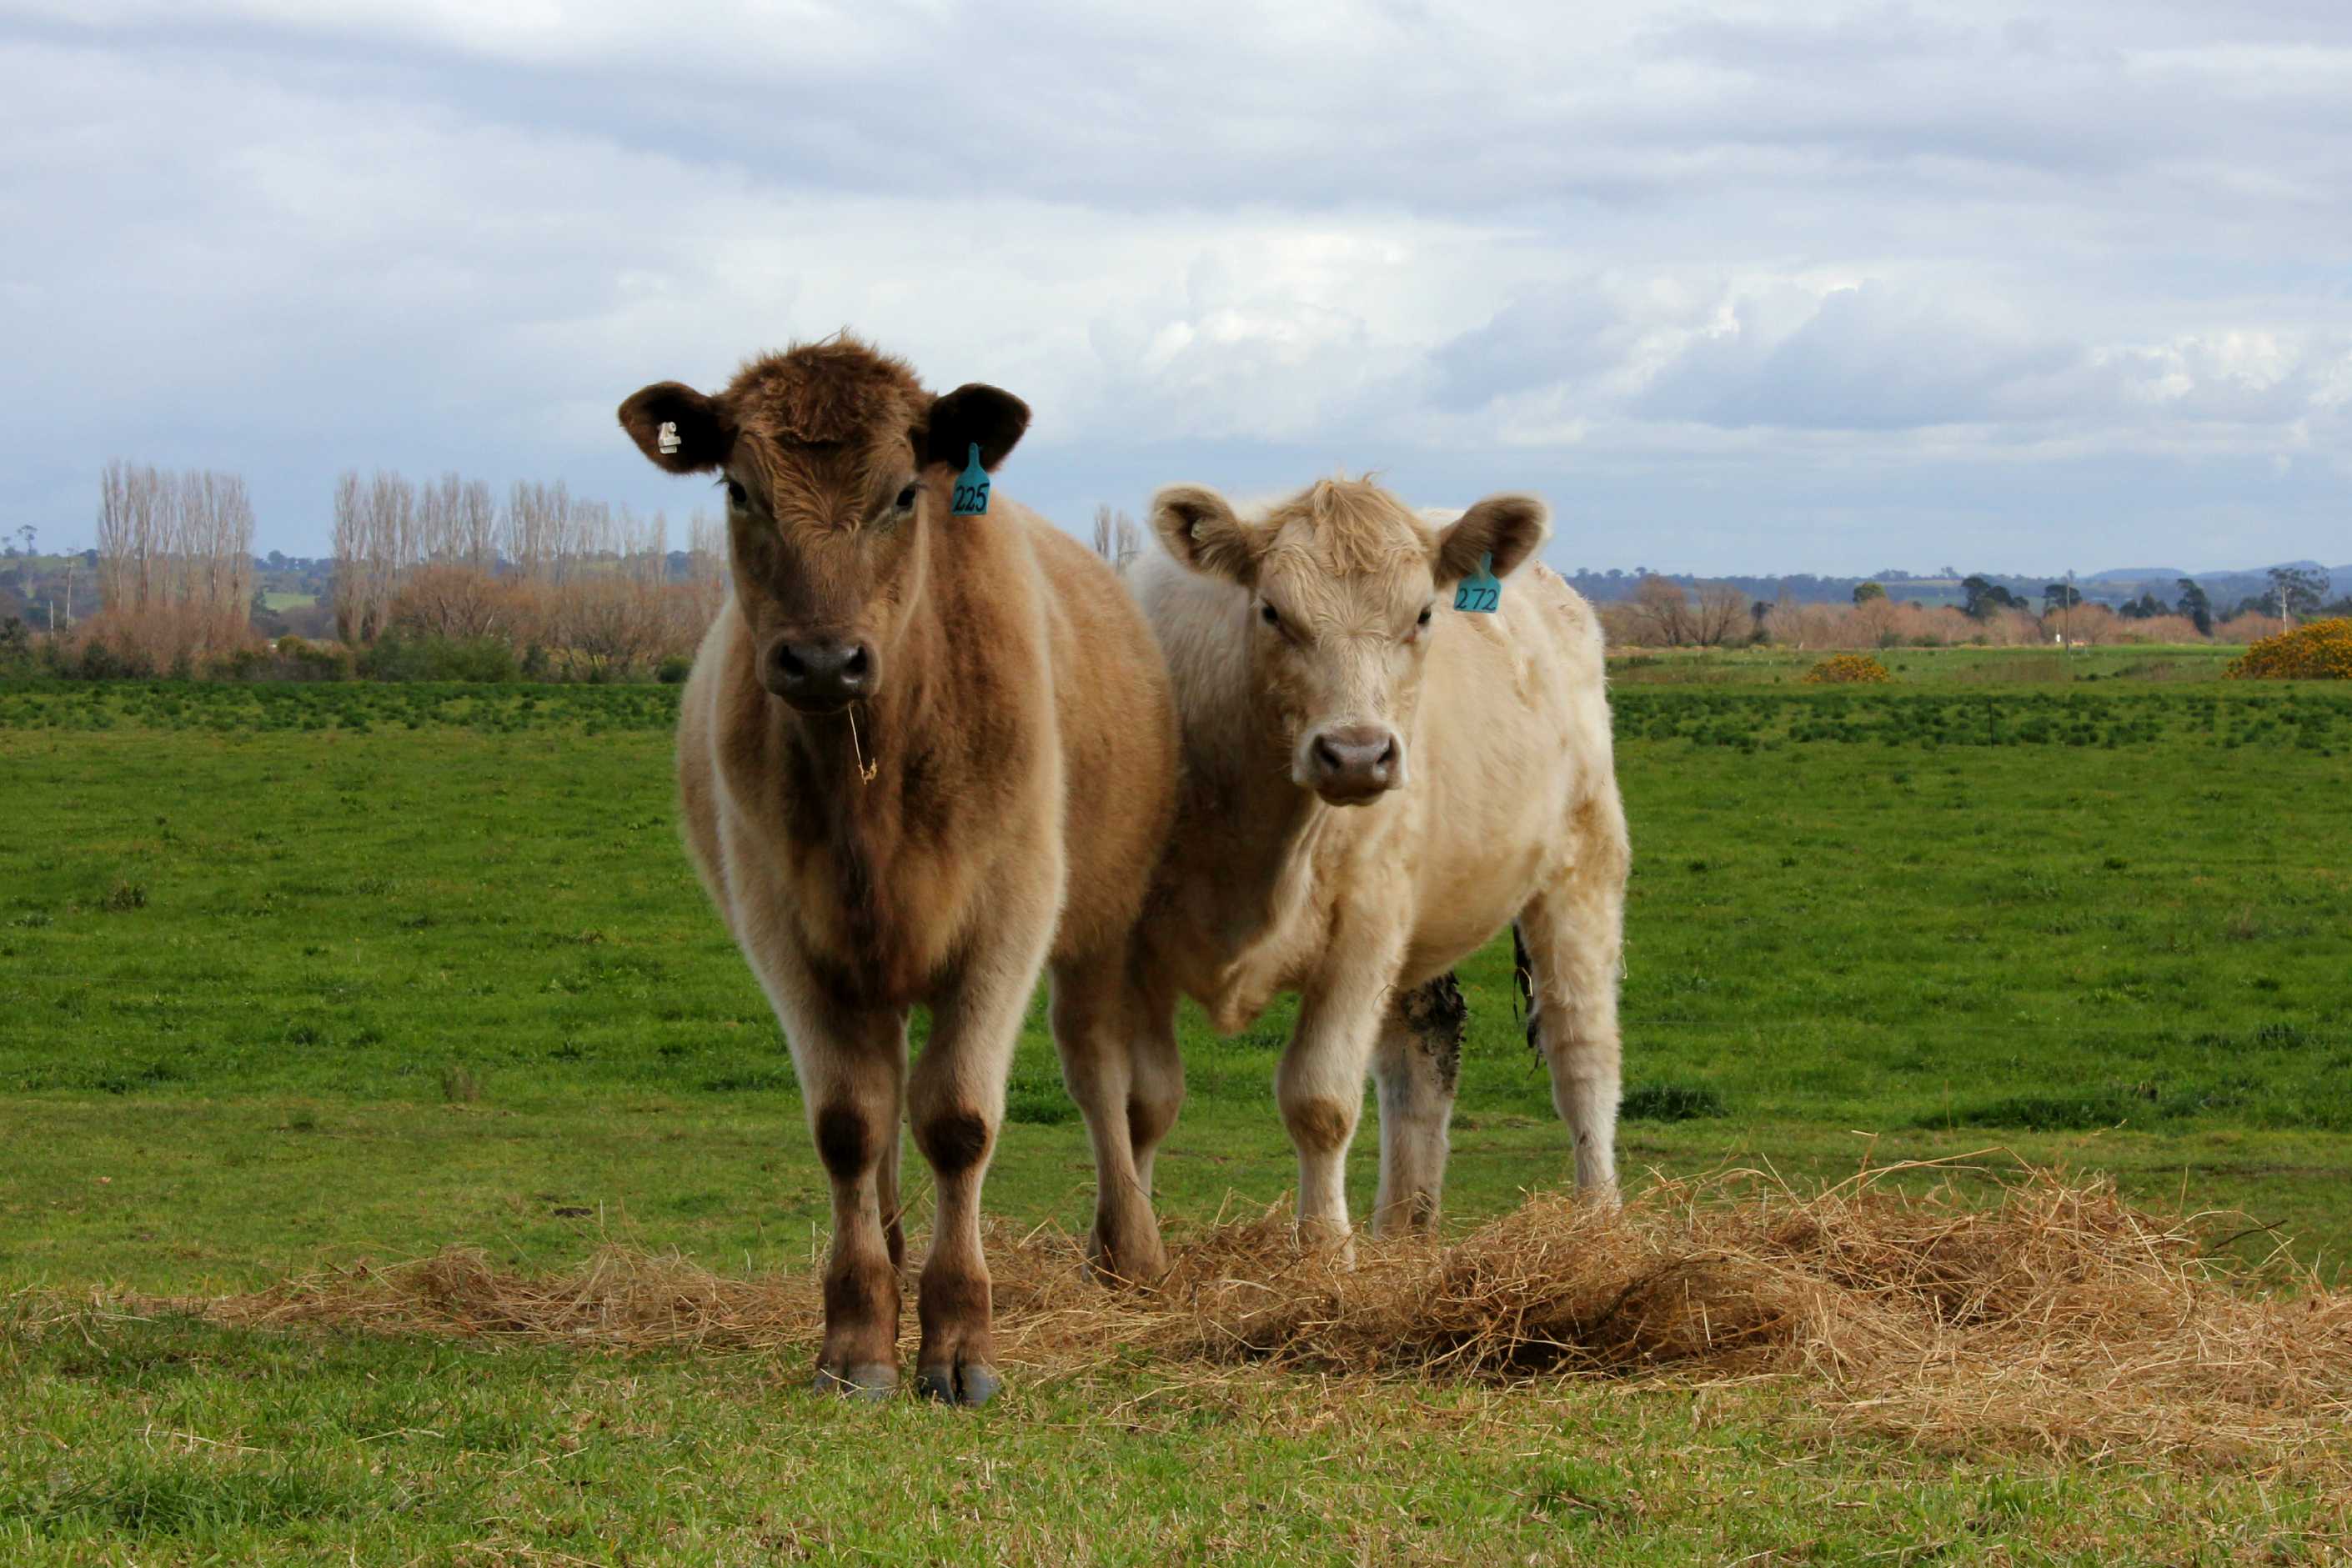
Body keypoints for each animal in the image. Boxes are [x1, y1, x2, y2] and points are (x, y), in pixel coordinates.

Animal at [618, 338, 1176, 1404]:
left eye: (904, 494)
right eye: (740, 491)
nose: (822, 660)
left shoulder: (1008, 918)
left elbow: (958, 1120)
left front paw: (958, 1341)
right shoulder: (786, 933)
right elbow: (848, 1123)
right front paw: (858, 1336)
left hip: (1101, 924)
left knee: (1100, 1082)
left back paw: (1129, 1255)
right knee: (878, 1104)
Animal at [1059, 475, 1627, 1274]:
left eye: (1422, 613)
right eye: (1272, 610)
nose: (1358, 754)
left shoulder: (1362, 929)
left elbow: (1318, 1099)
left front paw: (1325, 1254)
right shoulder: (1126, 944)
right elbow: (1141, 1102)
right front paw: (1124, 1259)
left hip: (1582, 868)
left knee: (1582, 1051)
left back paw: (1598, 1226)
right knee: (1426, 1045)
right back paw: (1404, 1233)